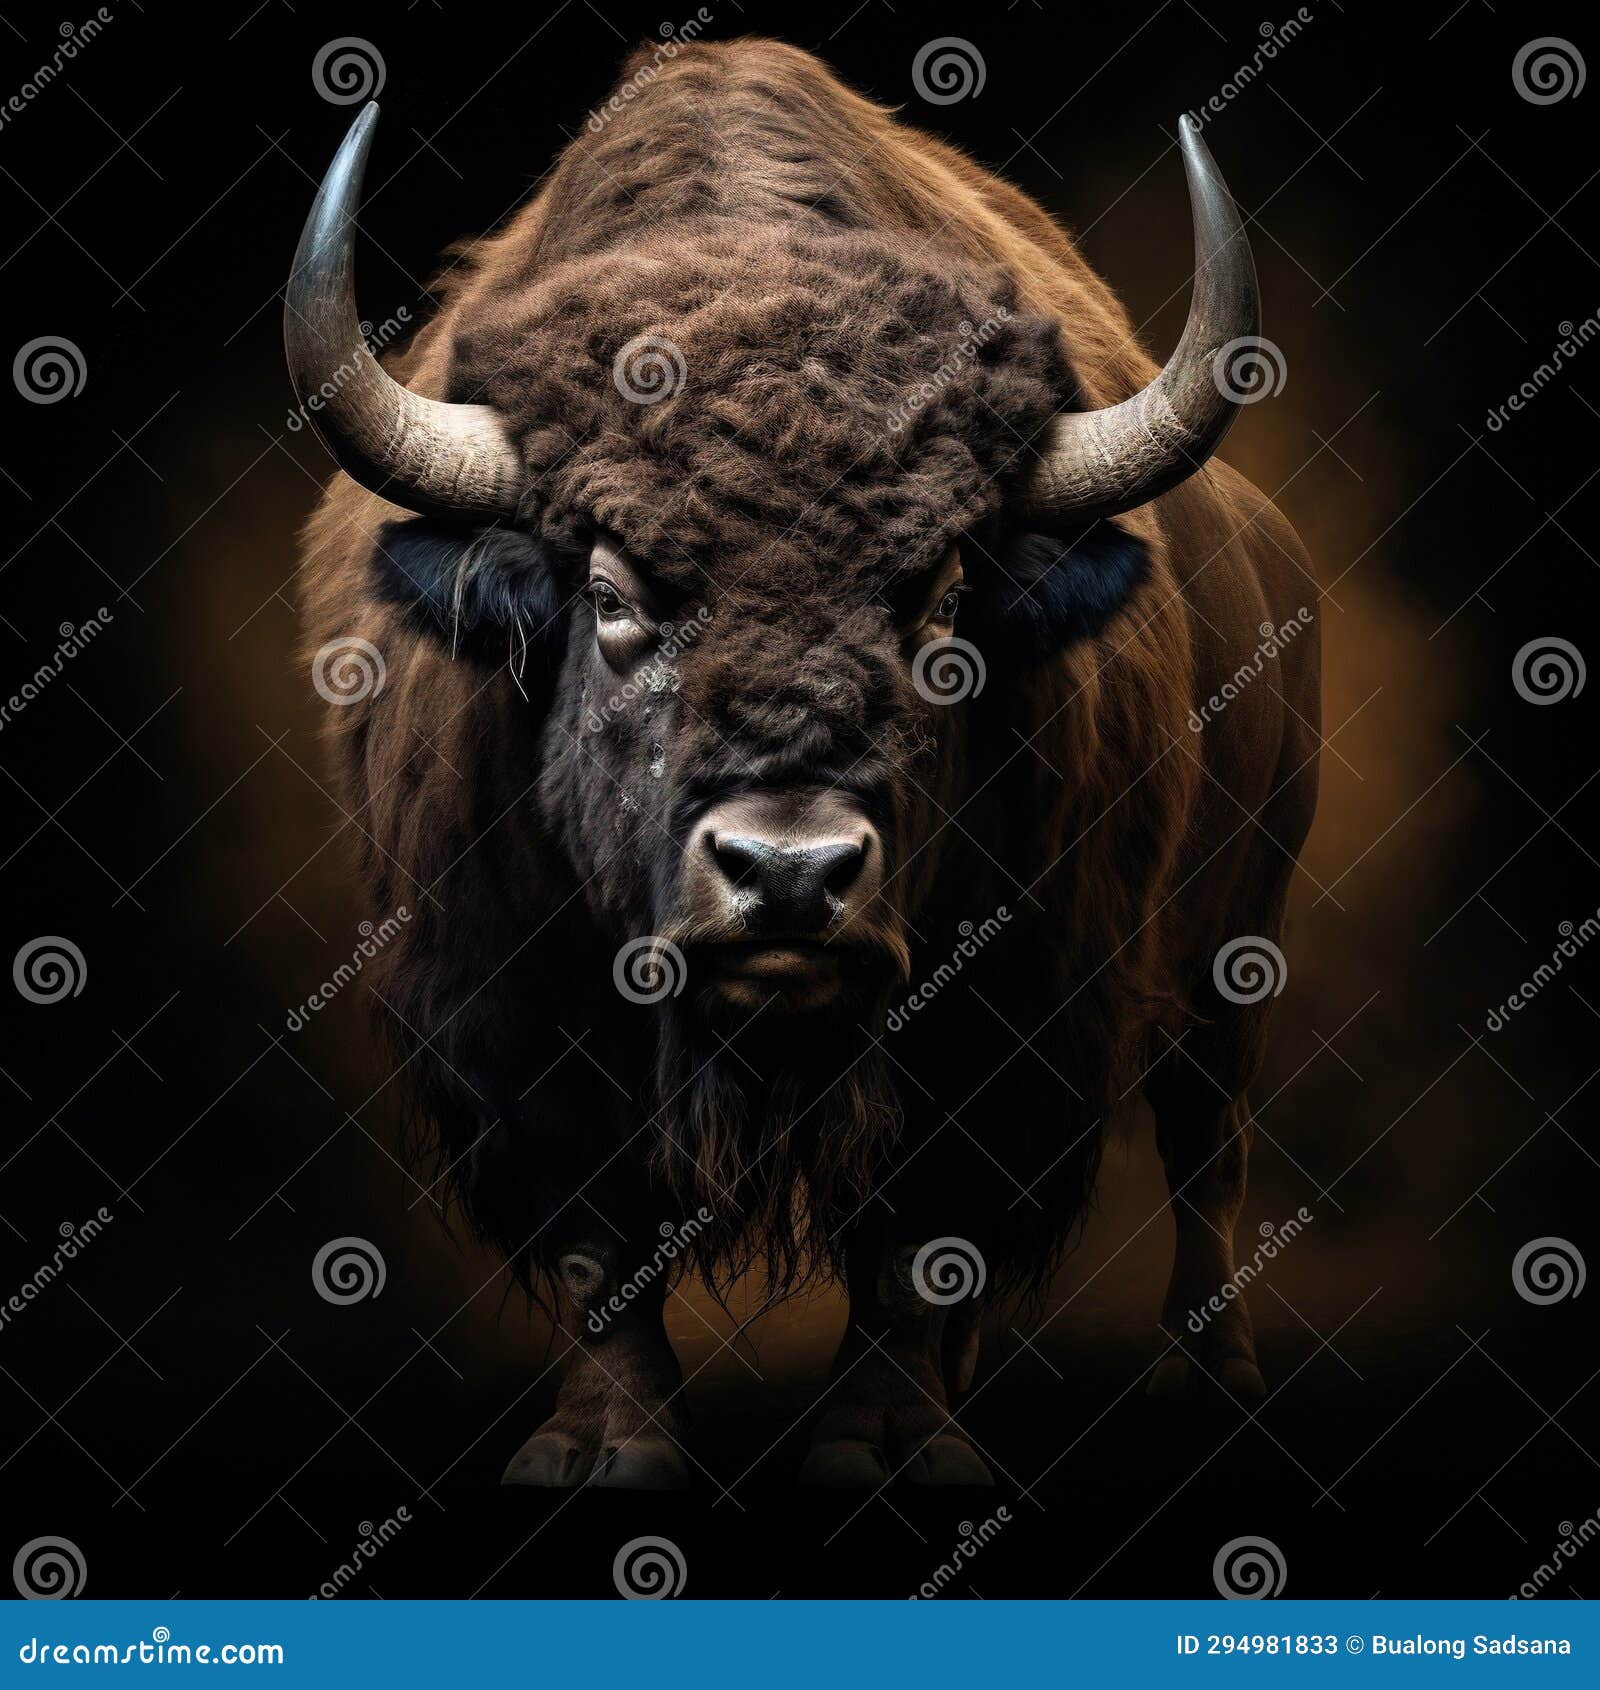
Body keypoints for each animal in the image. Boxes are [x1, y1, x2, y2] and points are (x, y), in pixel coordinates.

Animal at [290, 38, 1320, 1489]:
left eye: (941, 601)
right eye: (610, 597)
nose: (787, 875)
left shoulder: (1017, 997)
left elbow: (923, 1225)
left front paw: (885, 1445)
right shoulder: (506, 1003)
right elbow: (597, 1230)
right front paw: (603, 1448)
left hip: (1237, 951)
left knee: (1206, 1144)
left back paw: (1211, 1382)